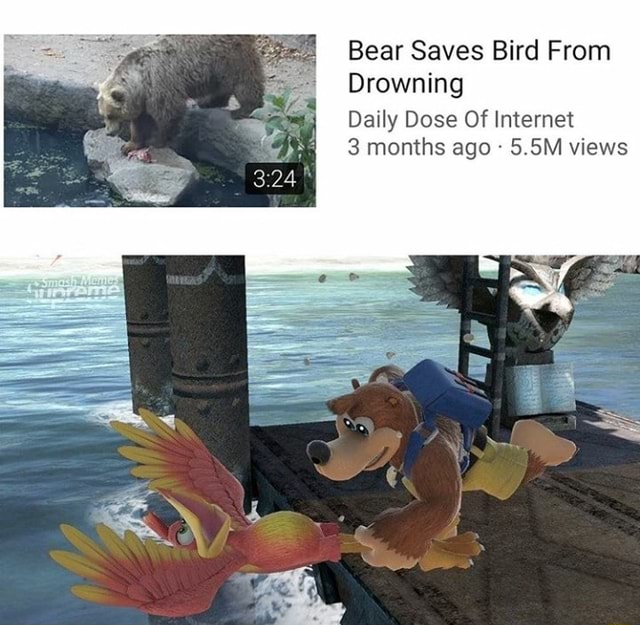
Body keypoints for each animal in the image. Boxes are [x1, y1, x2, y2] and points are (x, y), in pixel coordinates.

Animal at [97, 35, 265, 155]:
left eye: (110, 115)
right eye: (103, 115)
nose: (109, 132)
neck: (140, 80)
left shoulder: (160, 84)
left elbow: (168, 113)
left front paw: (158, 140)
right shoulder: (142, 98)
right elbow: (139, 121)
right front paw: (129, 145)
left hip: (230, 56)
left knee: (244, 81)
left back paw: (244, 109)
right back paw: (209, 102)